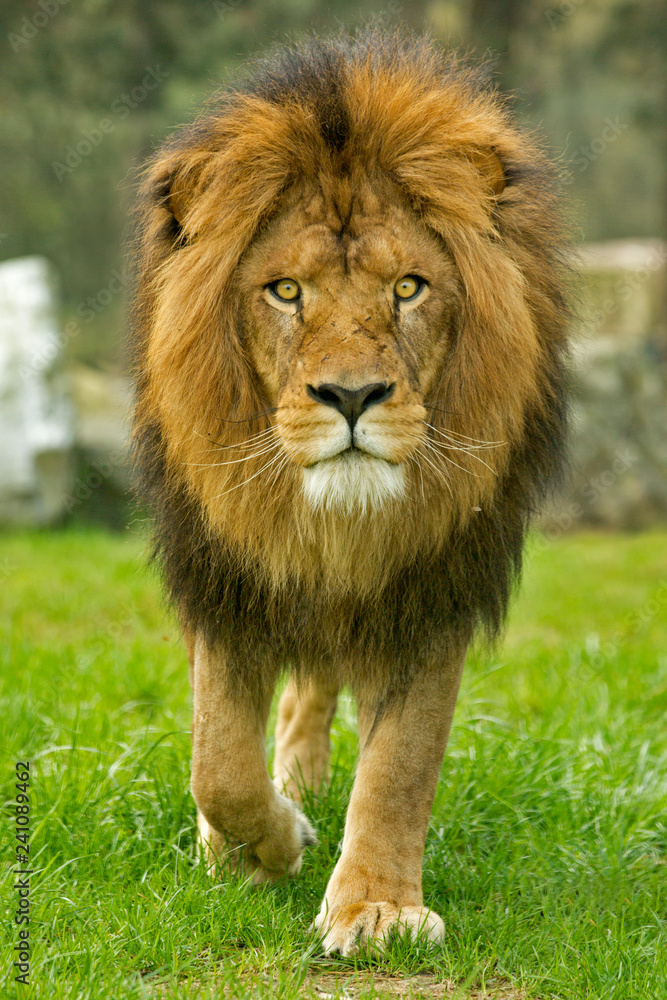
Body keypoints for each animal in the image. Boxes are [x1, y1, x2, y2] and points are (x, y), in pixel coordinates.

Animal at [130, 29, 570, 956]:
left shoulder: (431, 589)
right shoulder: (227, 572)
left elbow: (399, 765)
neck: (340, 527)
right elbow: (218, 759)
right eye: (284, 290)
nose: (353, 395)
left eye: (407, 287)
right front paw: (262, 846)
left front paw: (374, 908)